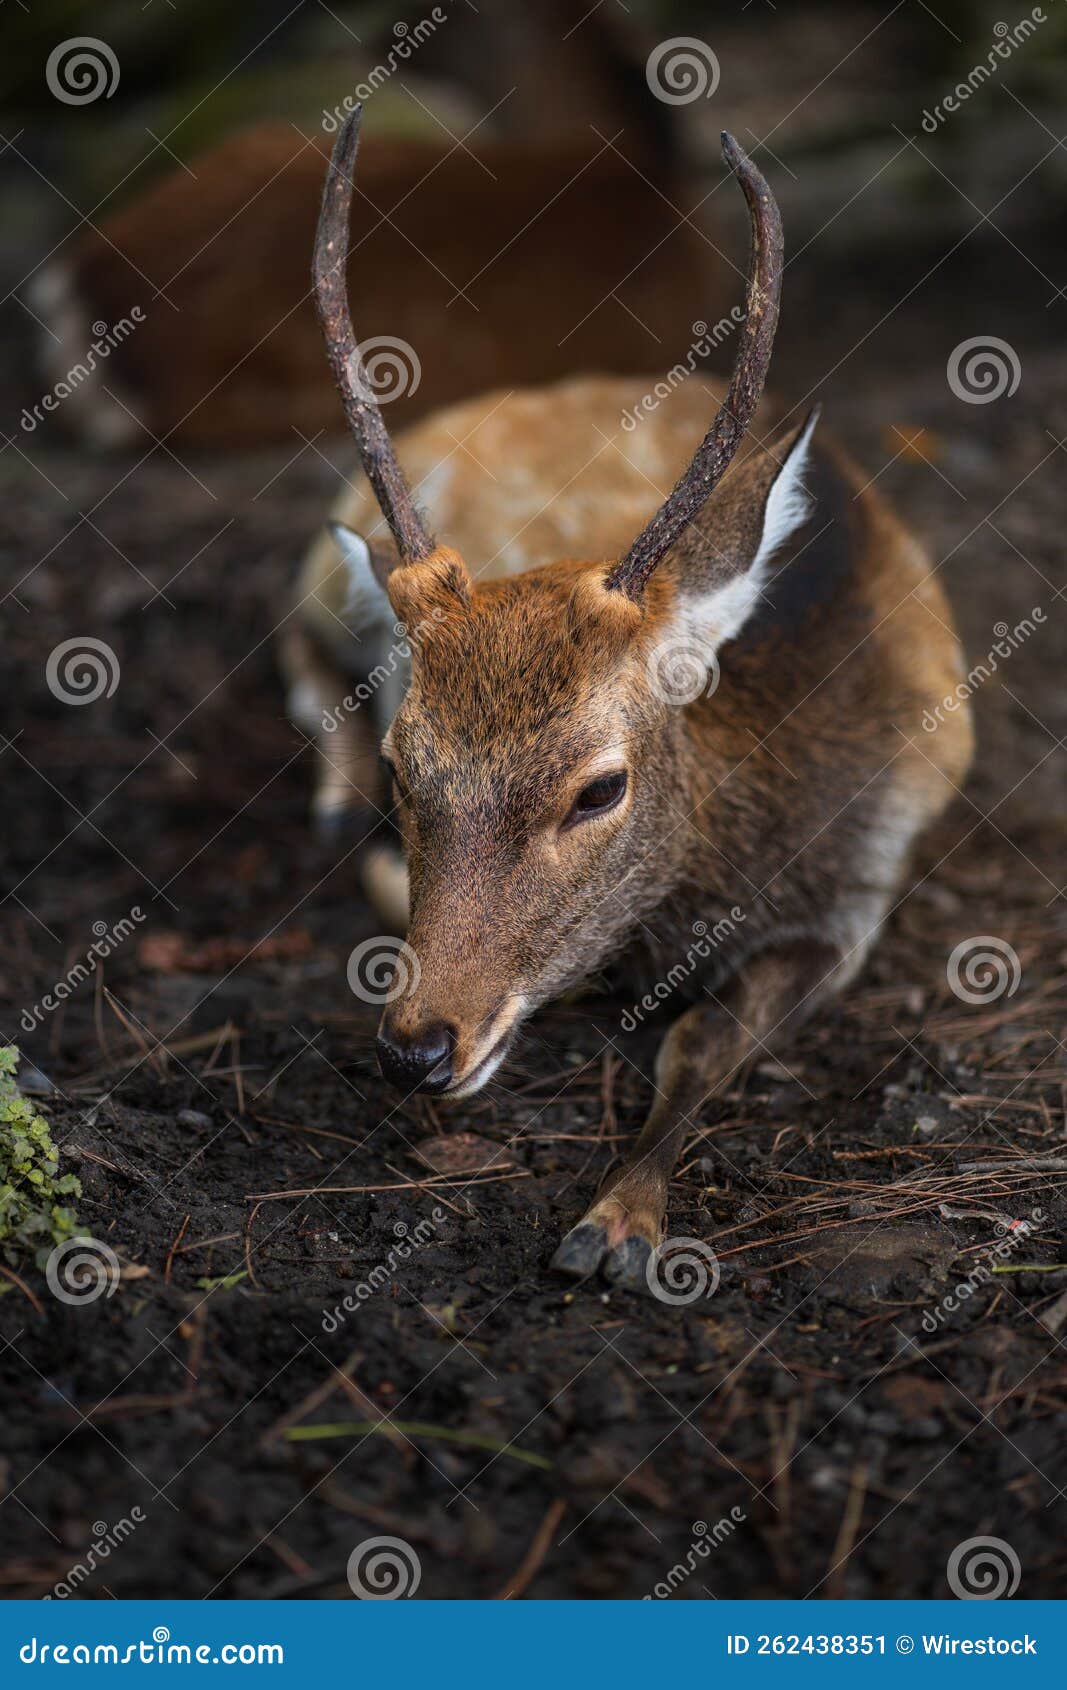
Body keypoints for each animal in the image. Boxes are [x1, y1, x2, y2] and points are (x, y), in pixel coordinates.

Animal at [295, 106, 972, 1288]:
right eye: (402, 767)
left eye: (598, 788)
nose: (415, 1047)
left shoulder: (857, 893)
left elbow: (699, 1040)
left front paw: (616, 1223)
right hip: (331, 565)